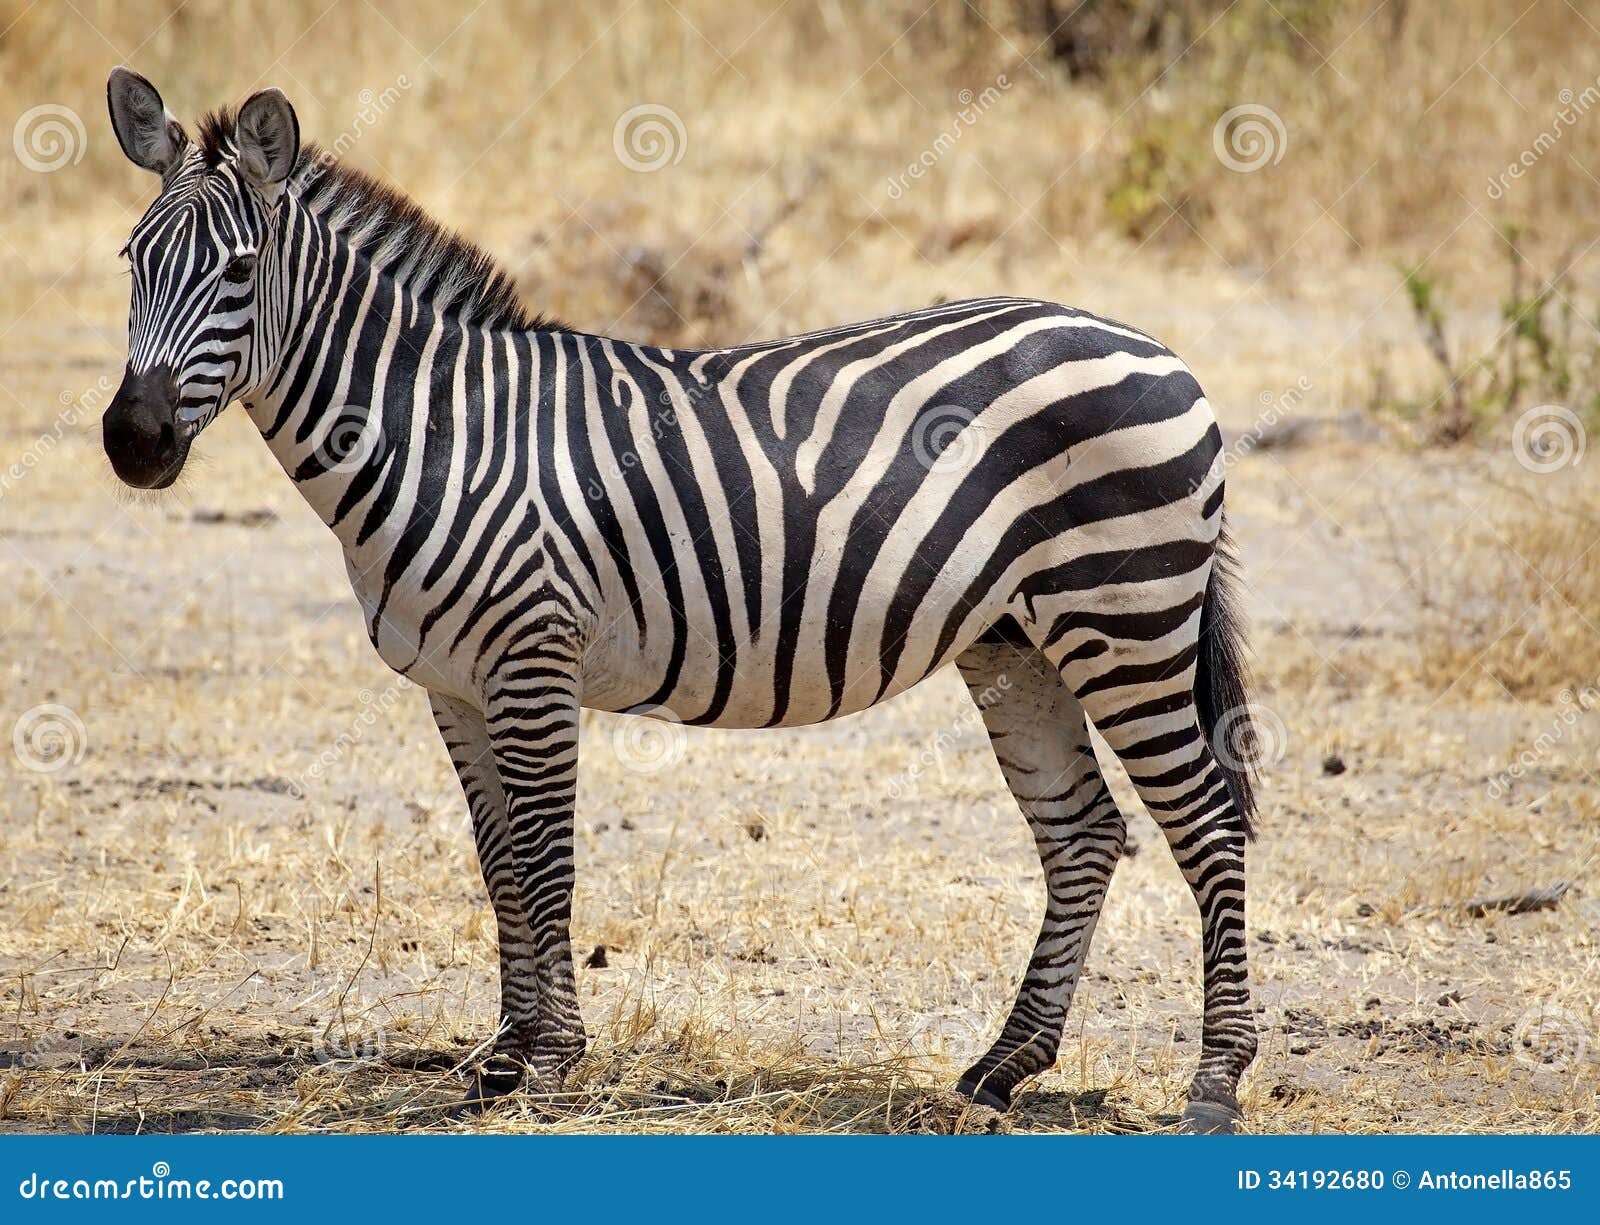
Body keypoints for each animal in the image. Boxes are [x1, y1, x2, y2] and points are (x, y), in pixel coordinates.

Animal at [101, 68, 1262, 1132]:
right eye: (131, 261)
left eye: (240, 269)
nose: (133, 441)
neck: (440, 429)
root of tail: (1152, 345)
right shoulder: (456, 686)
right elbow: (497, 864)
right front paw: (502, 1058)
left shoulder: (533, 660)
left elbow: (544, 858)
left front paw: (553, 1064)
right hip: (1017, 641)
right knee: (1083, 831)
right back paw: (999, 1068)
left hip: (1124, 614)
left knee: (1207, 823)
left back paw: (1212, 1085)